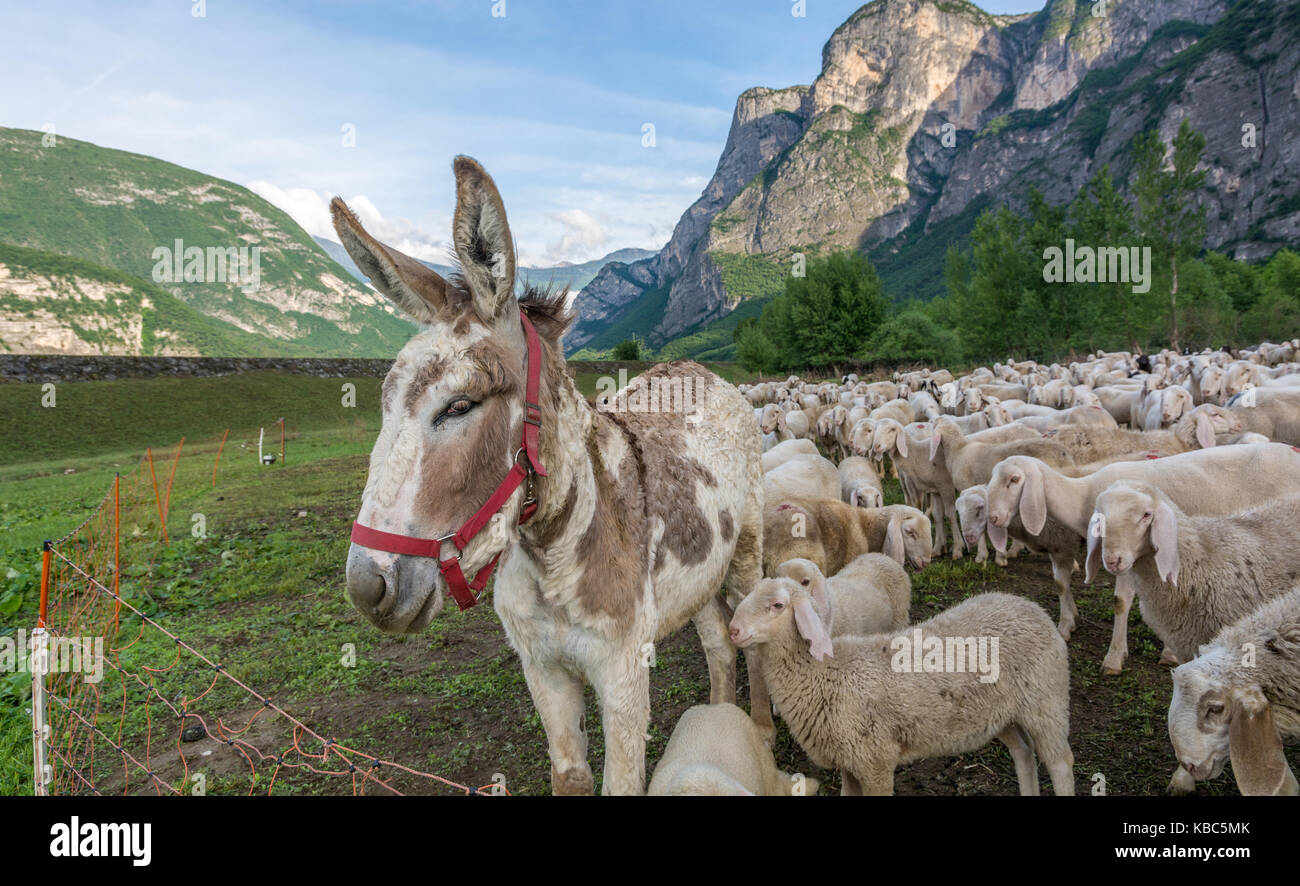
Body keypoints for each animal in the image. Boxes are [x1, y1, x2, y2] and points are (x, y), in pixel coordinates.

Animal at [728, 586, 1074, 795]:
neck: (825, 672)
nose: (733, 630)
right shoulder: (849, 759)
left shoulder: (876, 759)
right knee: (1024, 752)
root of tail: (1030, 606)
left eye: (777, 605)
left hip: (1046, 701)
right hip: (1002, 714)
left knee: (1060, 763)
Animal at [984, 444, 1300, 674]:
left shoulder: (1127, 554)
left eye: (1014, 480)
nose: (993, 518)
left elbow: (1120, 602)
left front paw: (1114, 658)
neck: (1081, 494)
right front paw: (1067, 625)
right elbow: (1062, 584)